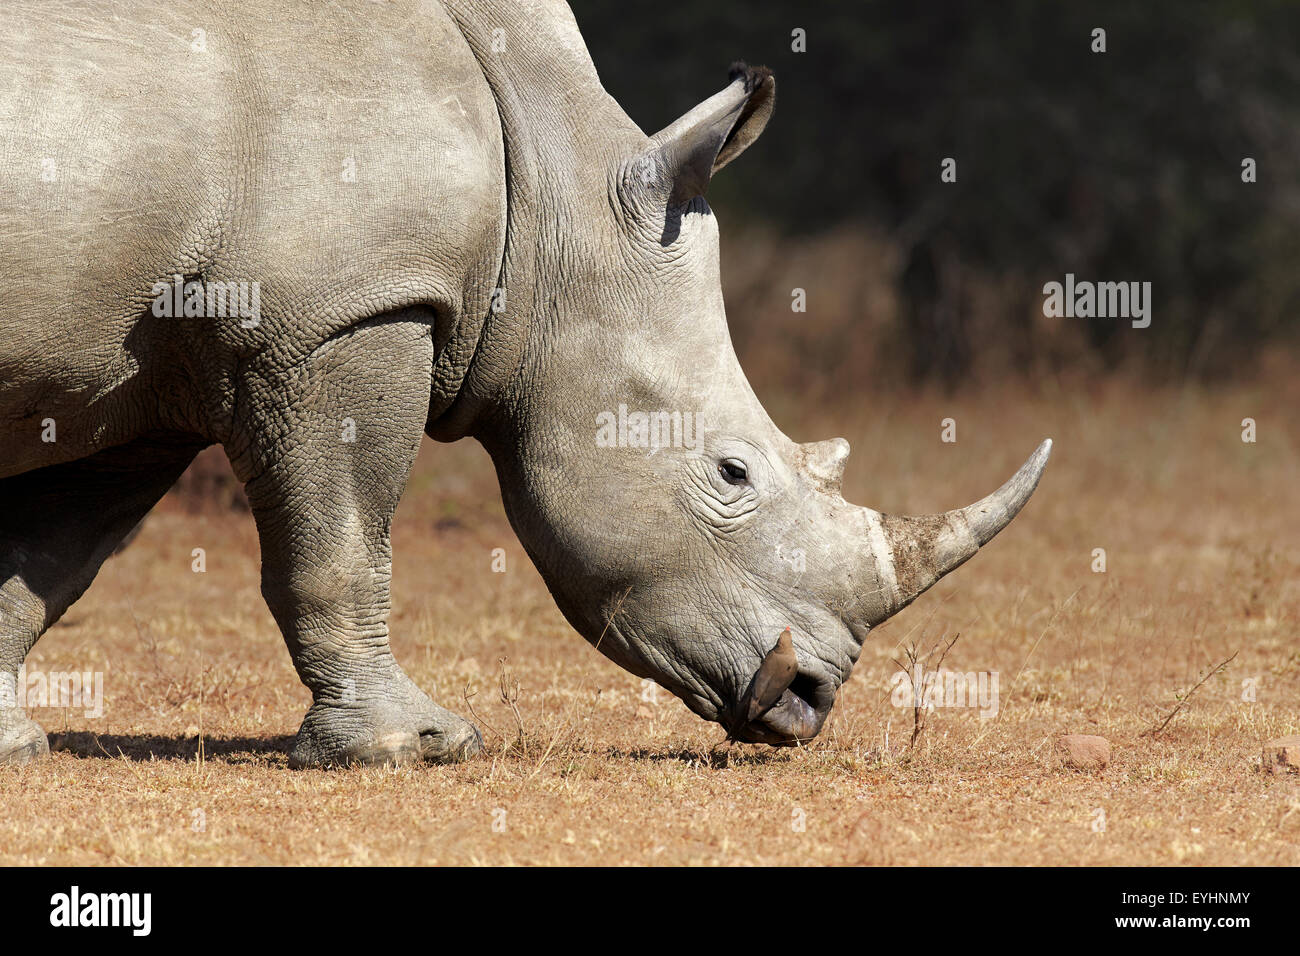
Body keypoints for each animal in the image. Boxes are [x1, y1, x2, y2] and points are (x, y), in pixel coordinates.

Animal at [0, 0, 1050, 767]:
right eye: (732, 473)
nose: (809, 697)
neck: (555, 188)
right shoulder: (348, 311)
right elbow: (342, 544)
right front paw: (415, 748)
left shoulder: (137, 365)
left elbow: (50, 558)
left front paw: (12, 747)